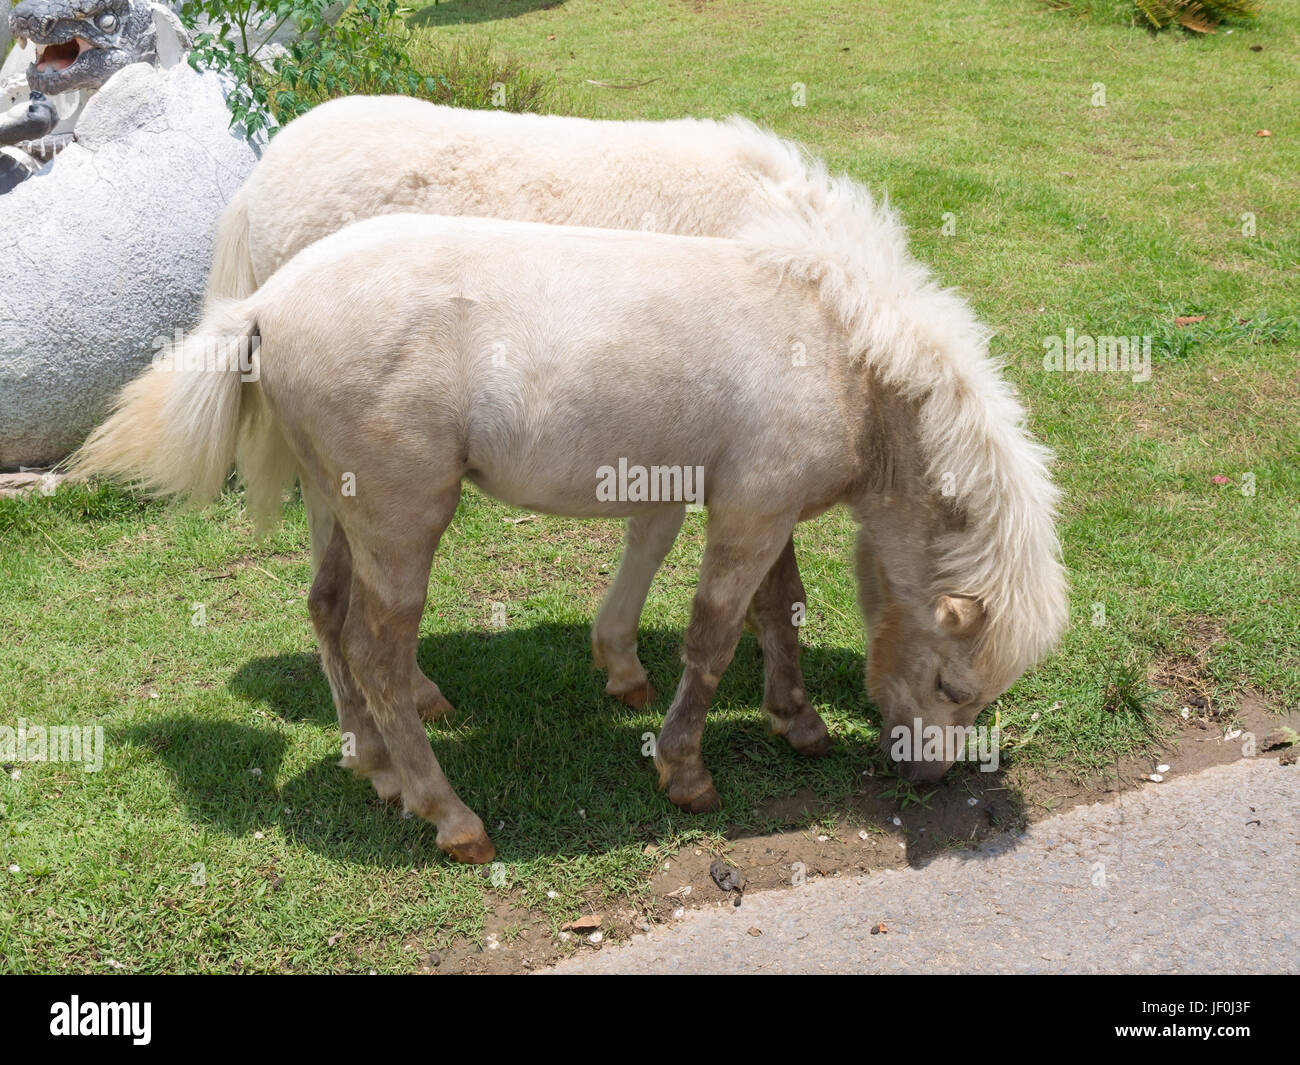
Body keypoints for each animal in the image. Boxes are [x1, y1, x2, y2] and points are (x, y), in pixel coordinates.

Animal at [73, 182, 1068, 865]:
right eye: (951, 684)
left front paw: (797, 718)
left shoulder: (764, 506)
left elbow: (777, 607)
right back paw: (448, 812)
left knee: (324, 613)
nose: (927, 774)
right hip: (400, 525)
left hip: (333, 504)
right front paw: (685, 770)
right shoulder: (749, 511)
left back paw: (375, 763)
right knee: (378, 655)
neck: (837, 348)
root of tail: (266, 301)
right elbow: (714, 636)